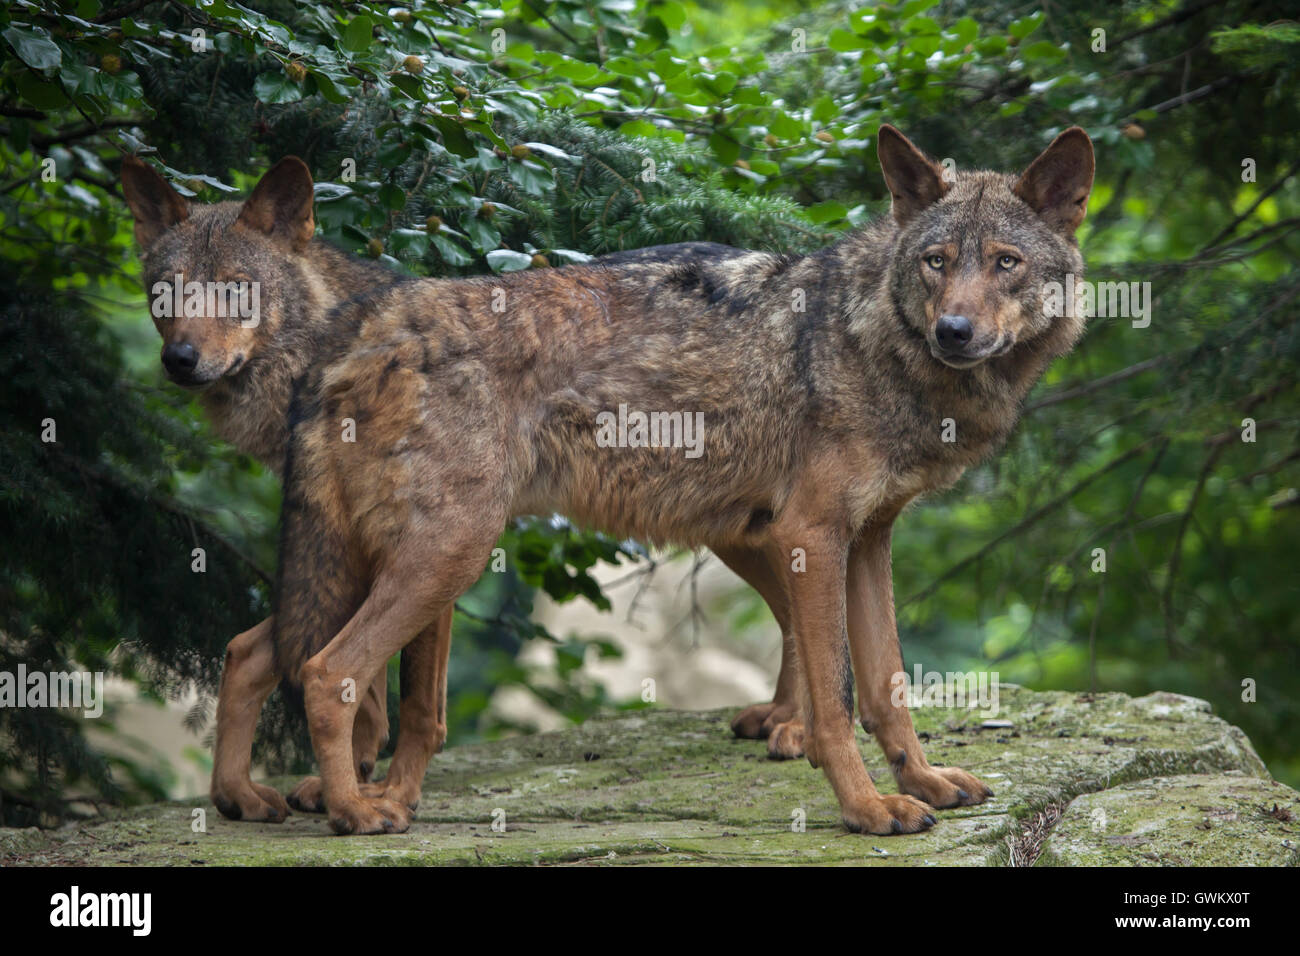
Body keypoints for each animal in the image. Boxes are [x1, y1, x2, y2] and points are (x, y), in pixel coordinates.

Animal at [123, 123, 1092, 836]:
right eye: (937, 261)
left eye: (1004, 262)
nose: (957, 331)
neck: (872, 339)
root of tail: (360, 330)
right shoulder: (815, 535)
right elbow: (838, 704)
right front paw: (866, 810)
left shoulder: (866, 542)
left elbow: (886, 687)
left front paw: (922, 783)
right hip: (448, 554)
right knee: (325, 672)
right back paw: (358, 815)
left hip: (402, 555)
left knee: (260, 651)